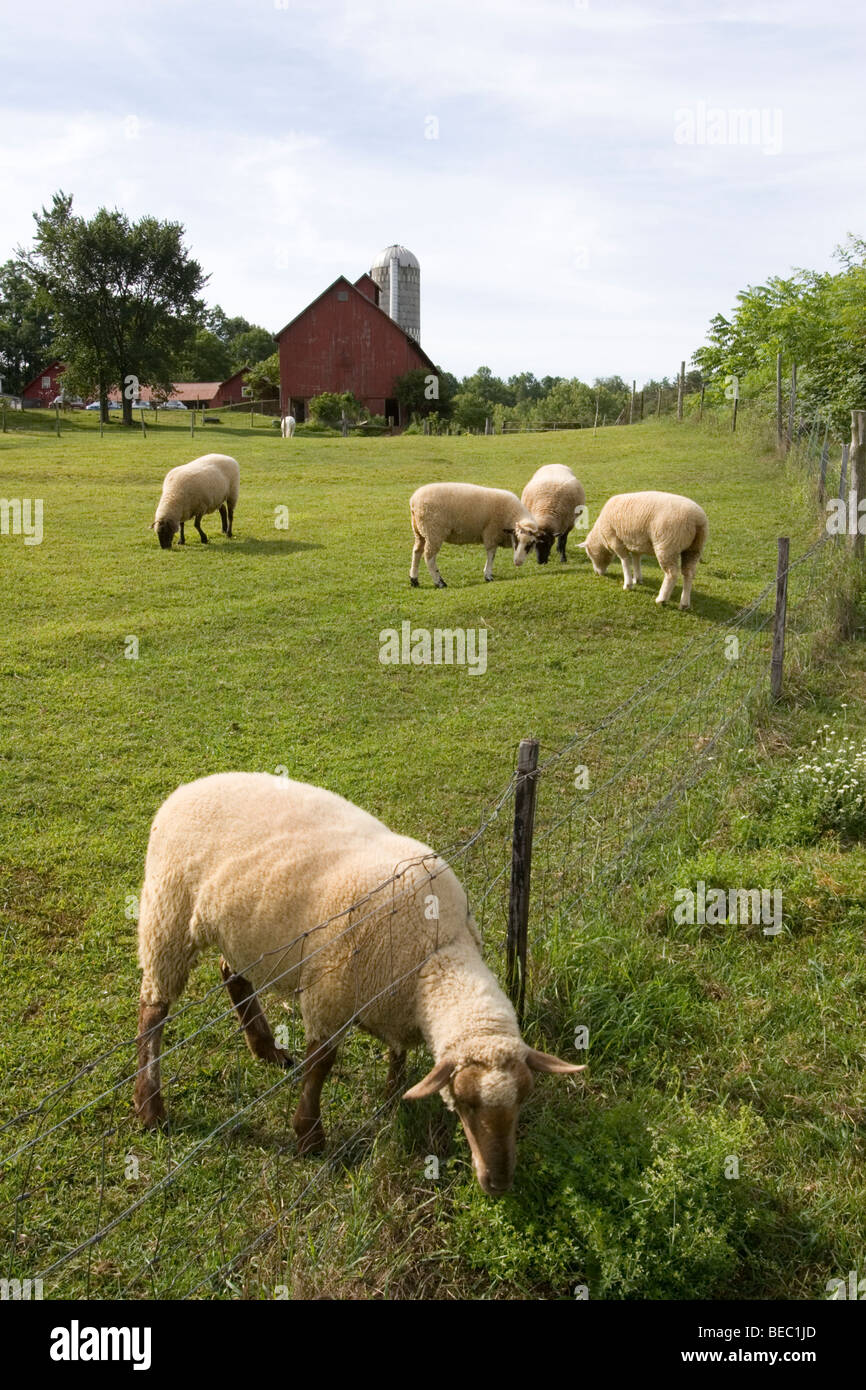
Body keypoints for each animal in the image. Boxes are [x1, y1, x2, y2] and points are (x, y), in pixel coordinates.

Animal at [134, 773, 583, 1195]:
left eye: (524, 1098)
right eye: (465, 1103)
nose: (499, 1182)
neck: (437, 950)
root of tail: (191, 786)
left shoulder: (393, 1003)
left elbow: (397, 1056)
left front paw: (392, 1100)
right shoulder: (328, 994)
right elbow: (320, 1065)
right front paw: (309, 1137)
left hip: (240, 932)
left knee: (232, 975)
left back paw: (266, 1049)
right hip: (168, 915)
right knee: (153, 1011)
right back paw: (149, 1106)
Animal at [409, 482, 543, 588]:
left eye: (531, 544)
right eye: (516, 538)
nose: (518, 562)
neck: (511, 515)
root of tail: (414, 501)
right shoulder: (491, 533)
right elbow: (491, 555)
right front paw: (488, 575)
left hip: (419, 531)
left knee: (416, 552)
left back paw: (414, 580)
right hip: (434, 532)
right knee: (429, 557)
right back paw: (439, 582)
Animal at [579, 490, 708, 608]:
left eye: (589, 555)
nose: (597, 573)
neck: (601, 537)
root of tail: (697, 520)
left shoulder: (616, 540)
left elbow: (625, 561)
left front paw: (628, 584)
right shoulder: (636, 543)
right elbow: (636, 561)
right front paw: (637, 579)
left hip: (667, 545)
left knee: (672, 574)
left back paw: (661, 599)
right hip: (694, 548)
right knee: (688, 573)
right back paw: (684, 603)